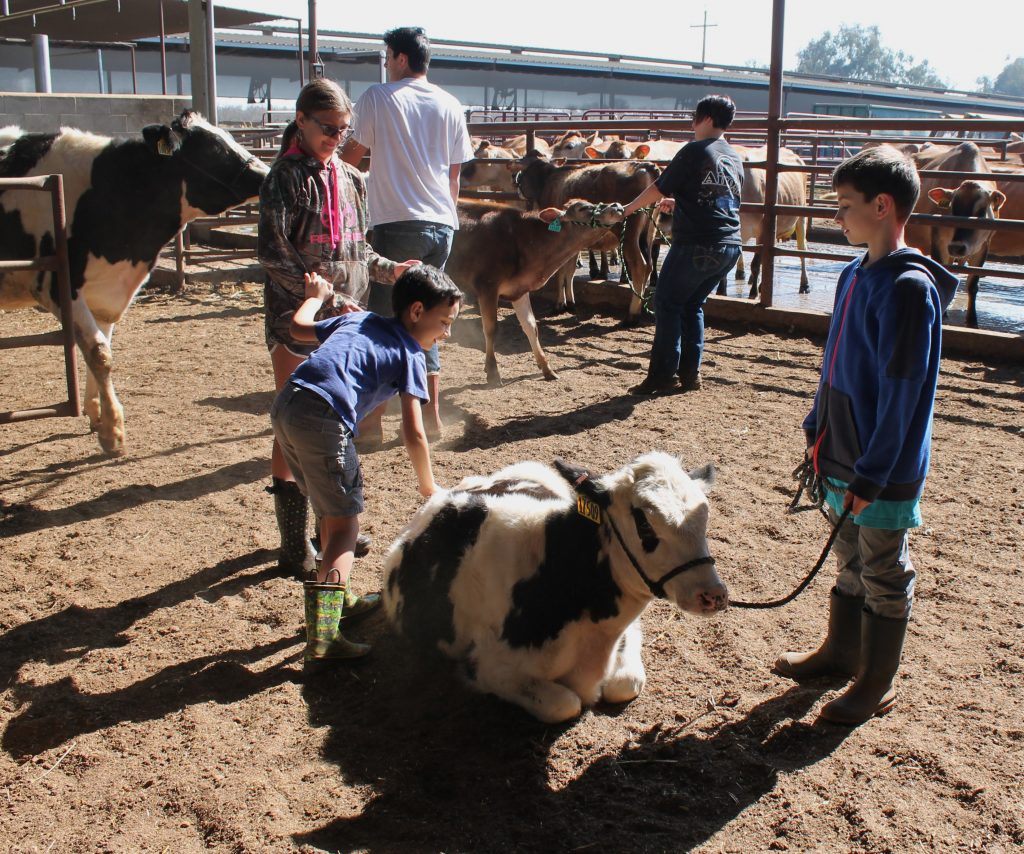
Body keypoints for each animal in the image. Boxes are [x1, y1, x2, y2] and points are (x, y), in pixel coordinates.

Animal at [0, 110, 269, 453]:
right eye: (213, 149)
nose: (266, 174)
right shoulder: (57, 286)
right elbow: (99, 353)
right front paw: (112, 432)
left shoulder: (105, 294)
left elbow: (97, 350)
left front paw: (97, 414)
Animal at [382, 452, 727, 723]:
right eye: (644, 523)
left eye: (704, 515)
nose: (713, 595)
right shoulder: (486, 665)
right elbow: (565, 704)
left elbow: (626, 682)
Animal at [445, 198, 625, 385]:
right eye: (582, 208)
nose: (616, 205)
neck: (520, 239)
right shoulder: (487, 287)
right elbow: (490, 329)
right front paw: (493, 372)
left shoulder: (520, 289)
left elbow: (531, 326)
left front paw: (547, 369)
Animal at [510, 153, 659, 321]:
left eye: (524, 170)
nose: (516, 183)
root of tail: (646, 165)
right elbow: (569, 271)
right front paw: (570, 302)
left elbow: (560, 272)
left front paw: (559, 304)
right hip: (648, 232)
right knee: (649, 265)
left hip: (629, 234)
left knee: (639, 265)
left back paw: (632, 314)